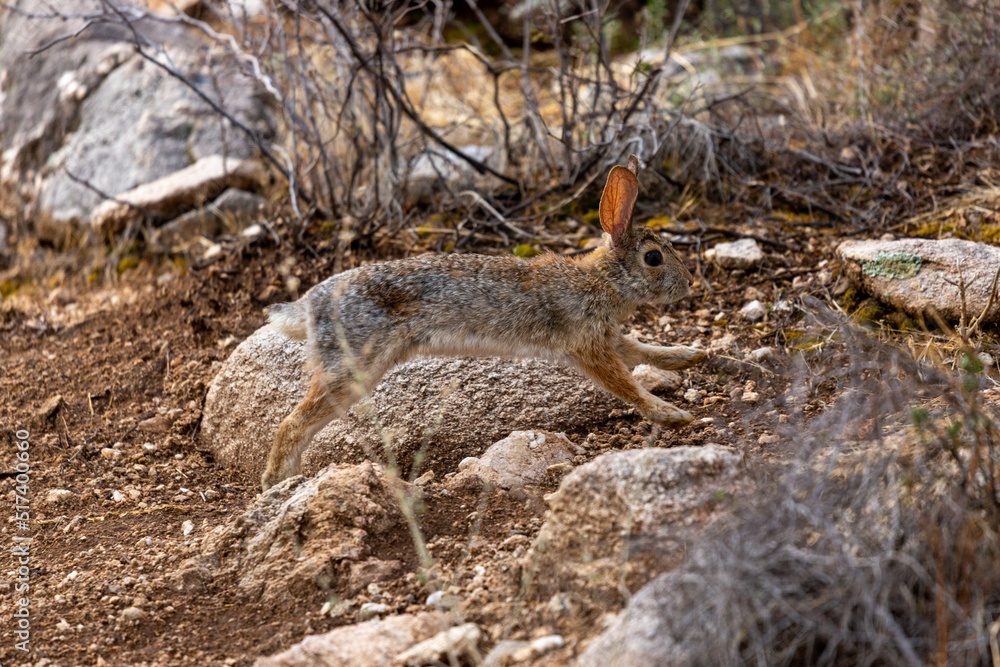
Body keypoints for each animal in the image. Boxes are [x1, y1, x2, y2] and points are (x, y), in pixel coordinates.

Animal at [261, 155, 705, 490]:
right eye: (653, 258)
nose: (689, 282)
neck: (602, 281)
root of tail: (309, 304)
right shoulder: (589, 347)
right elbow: (626, 385)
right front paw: (671, 414)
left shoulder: (609, 337)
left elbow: (645, 351)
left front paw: (690, 355)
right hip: (354, 367)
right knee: (291, 424)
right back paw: (281, 482)